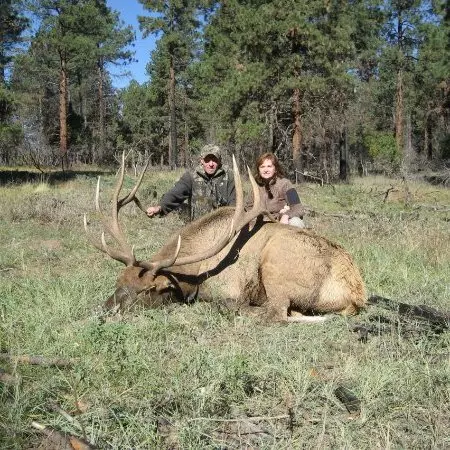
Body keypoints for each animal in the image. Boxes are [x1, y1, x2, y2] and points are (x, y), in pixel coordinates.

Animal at [84, 155, 366, 324]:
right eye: (118, 281)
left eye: (147, 290)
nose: (106, 310)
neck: (195, 273)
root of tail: (356, 294)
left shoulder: (228, 290)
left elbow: (229, 304)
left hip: (276, 265)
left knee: (276, 314)